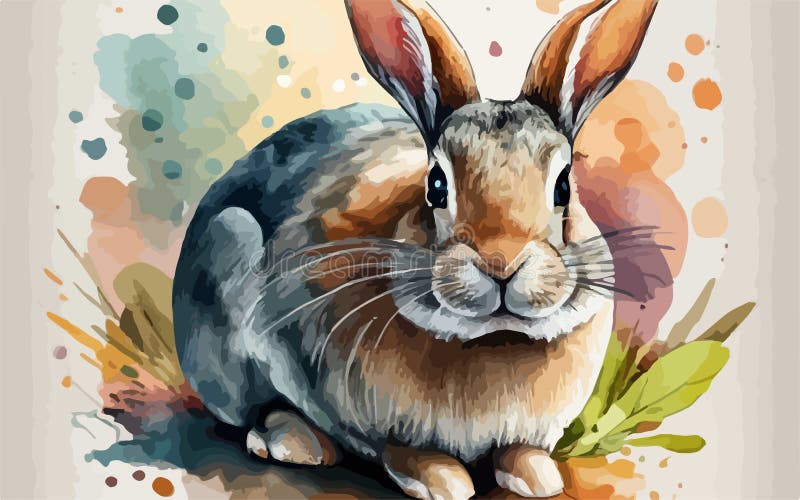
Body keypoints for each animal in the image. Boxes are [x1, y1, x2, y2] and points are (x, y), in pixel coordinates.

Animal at [172, 0, 659, 497]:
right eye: (437, 185)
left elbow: (518, 451)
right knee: (252, 408)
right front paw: (443, 481)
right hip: (227, 262)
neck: (493, 337)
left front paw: (537, 476)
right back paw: (296, 441)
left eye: (563, 186)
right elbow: (402, 452)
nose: (501, 263)